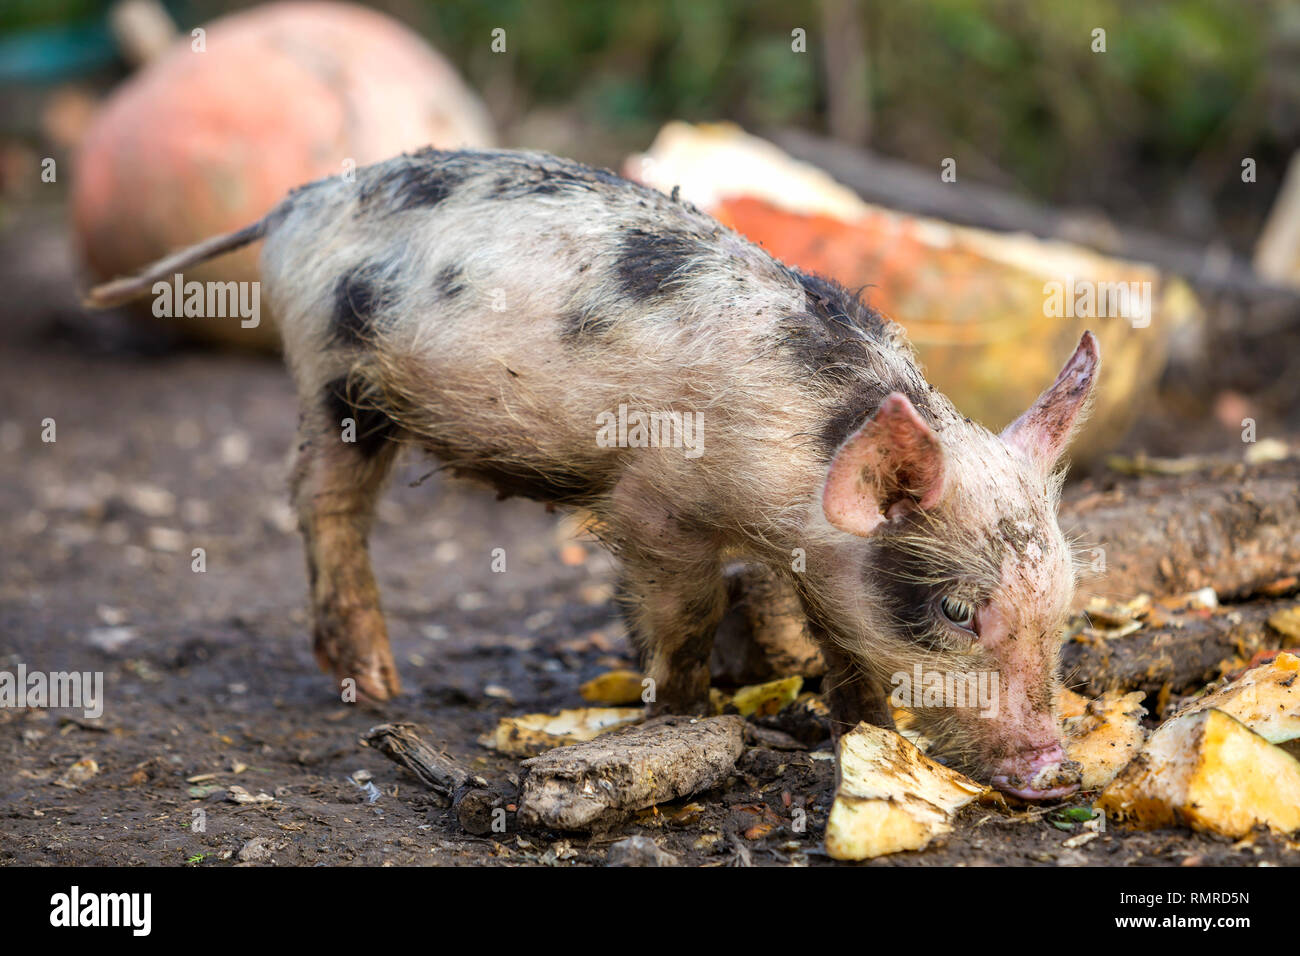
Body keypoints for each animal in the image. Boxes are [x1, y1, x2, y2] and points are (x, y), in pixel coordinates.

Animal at [88, 147, 1099, 800]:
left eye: (1063, 605)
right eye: (957, 611)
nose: (1055, 773)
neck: (799, 467)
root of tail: (302, 198)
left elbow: (832, 634)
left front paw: (860, 723)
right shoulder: (653, 505)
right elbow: (687, 613)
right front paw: (686, 716)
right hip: (335, 377)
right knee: (321, 500)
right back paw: (378, 685)